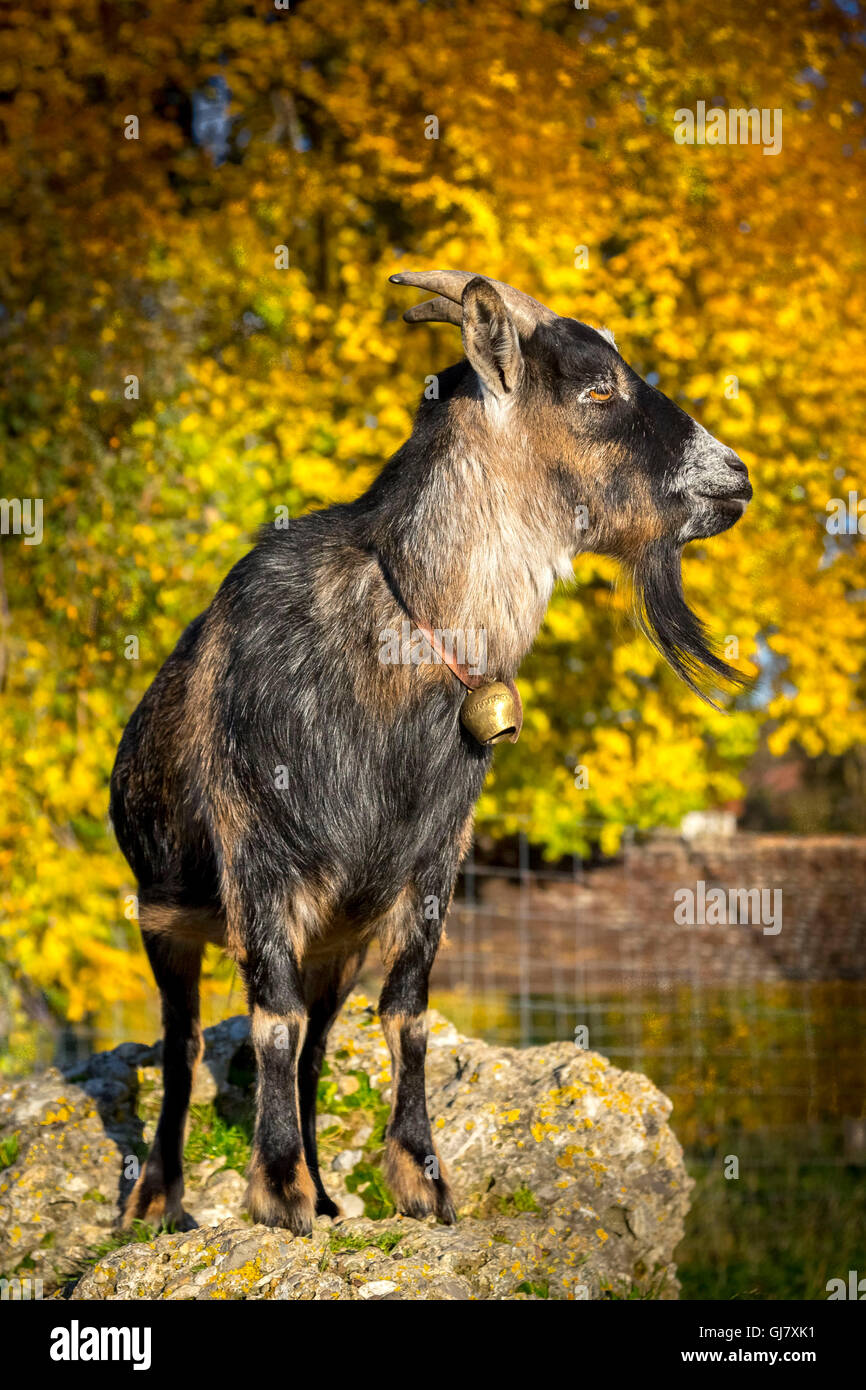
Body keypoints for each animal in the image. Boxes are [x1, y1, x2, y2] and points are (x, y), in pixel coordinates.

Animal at [110, 270, 752, 1234]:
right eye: (599, 388)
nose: (735, 476)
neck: (402, 628)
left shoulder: (429, 862)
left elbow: (404, 1014)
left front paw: (417, 1178)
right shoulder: (259, 856)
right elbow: (270, 1022)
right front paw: (279, 1192)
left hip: (336, 937)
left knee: (315, 1046)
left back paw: (330, 1194)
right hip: (166, 914)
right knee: (184, 1043)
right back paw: (160, 1199)